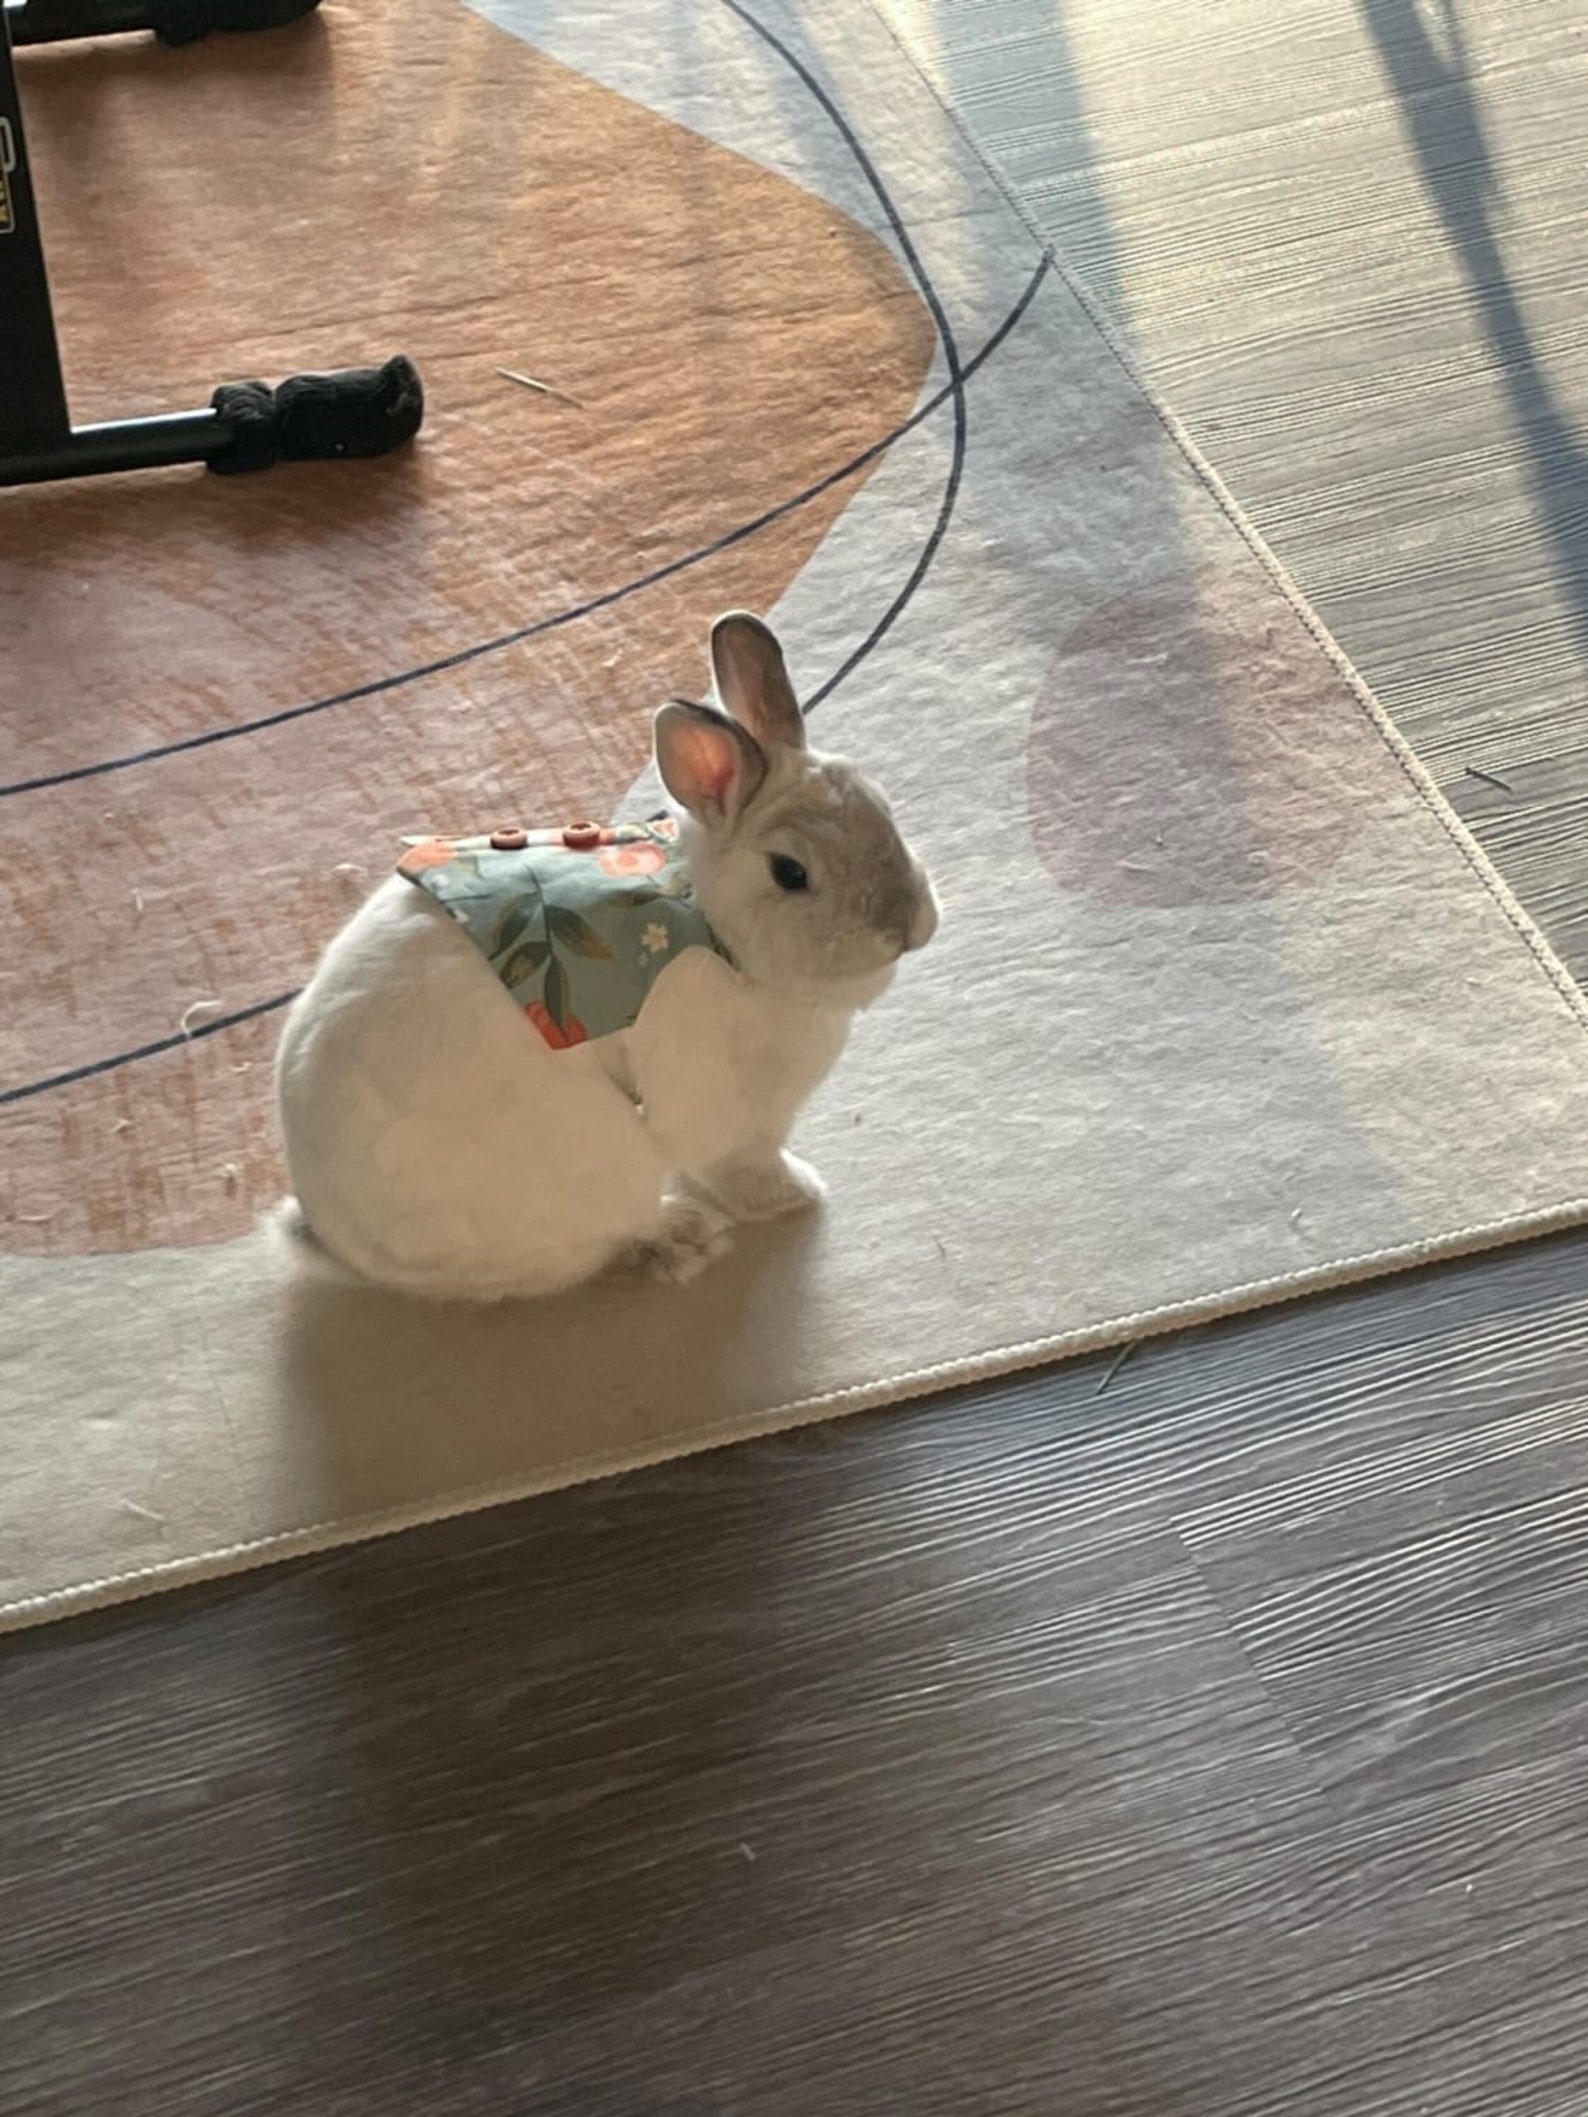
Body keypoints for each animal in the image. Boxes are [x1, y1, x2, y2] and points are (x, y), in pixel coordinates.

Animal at [273, 611, 939, 1301]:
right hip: (599, 1168)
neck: (715, 932)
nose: (909, 927)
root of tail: (339, 1244)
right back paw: (686, 1236)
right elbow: (740, 1168)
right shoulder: (723, 1113)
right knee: (615, 1237)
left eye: (882, 805)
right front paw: (797, 1193)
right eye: (790, 873)